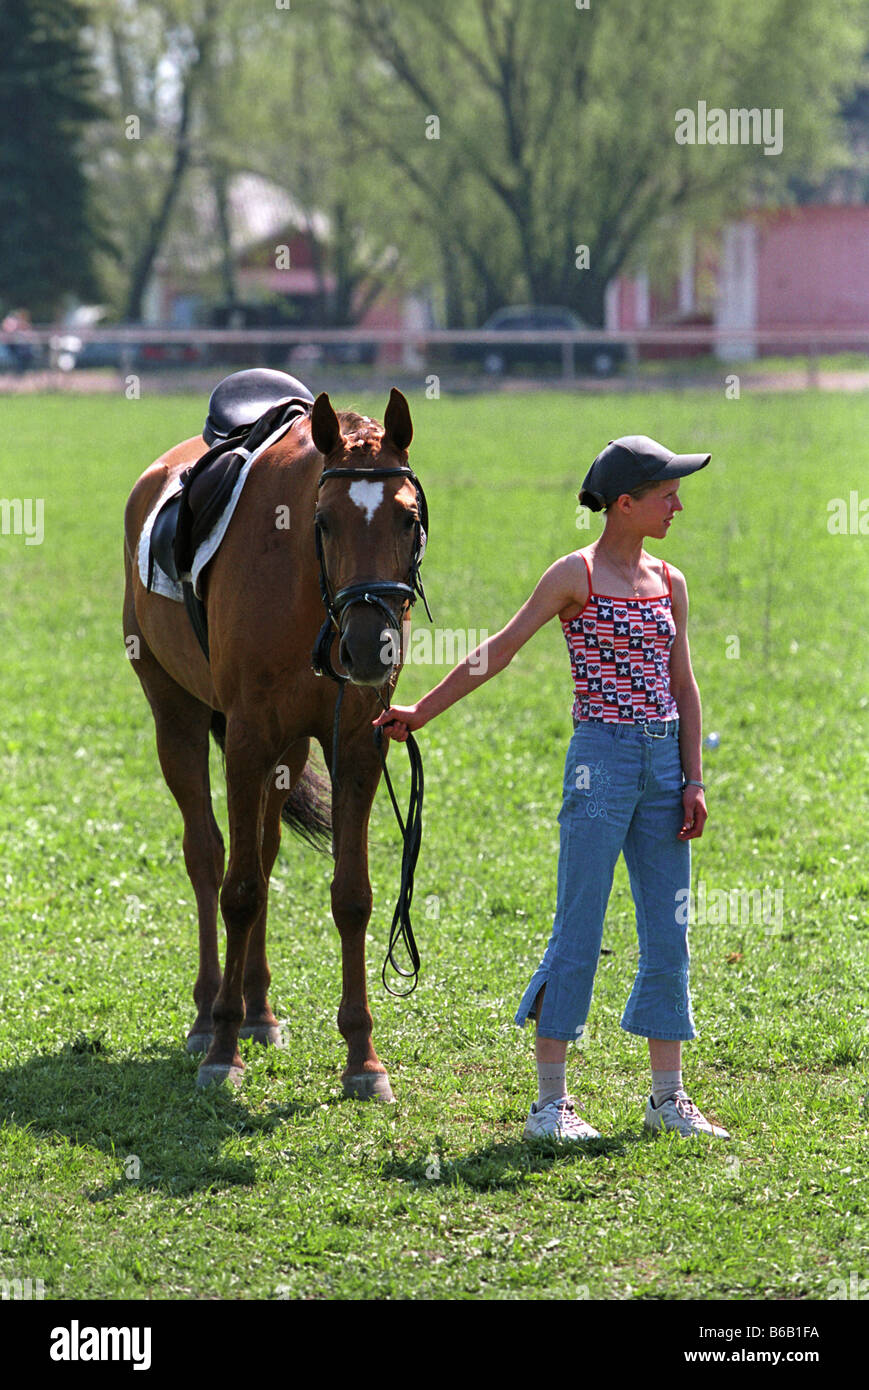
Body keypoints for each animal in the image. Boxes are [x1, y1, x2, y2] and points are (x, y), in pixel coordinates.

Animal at [122, 387, 427, 1101]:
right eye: (325, 521)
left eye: (407, 518)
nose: (368, 644)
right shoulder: (245, 740)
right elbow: (237, 893)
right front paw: (221, 1051)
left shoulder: (356, 745)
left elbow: (351, 896)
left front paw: (363, 1059)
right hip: (176, 715)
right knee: (209, 857)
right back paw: (210, 1011)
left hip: (284, 753)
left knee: (260, 852)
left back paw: (257, 1008)